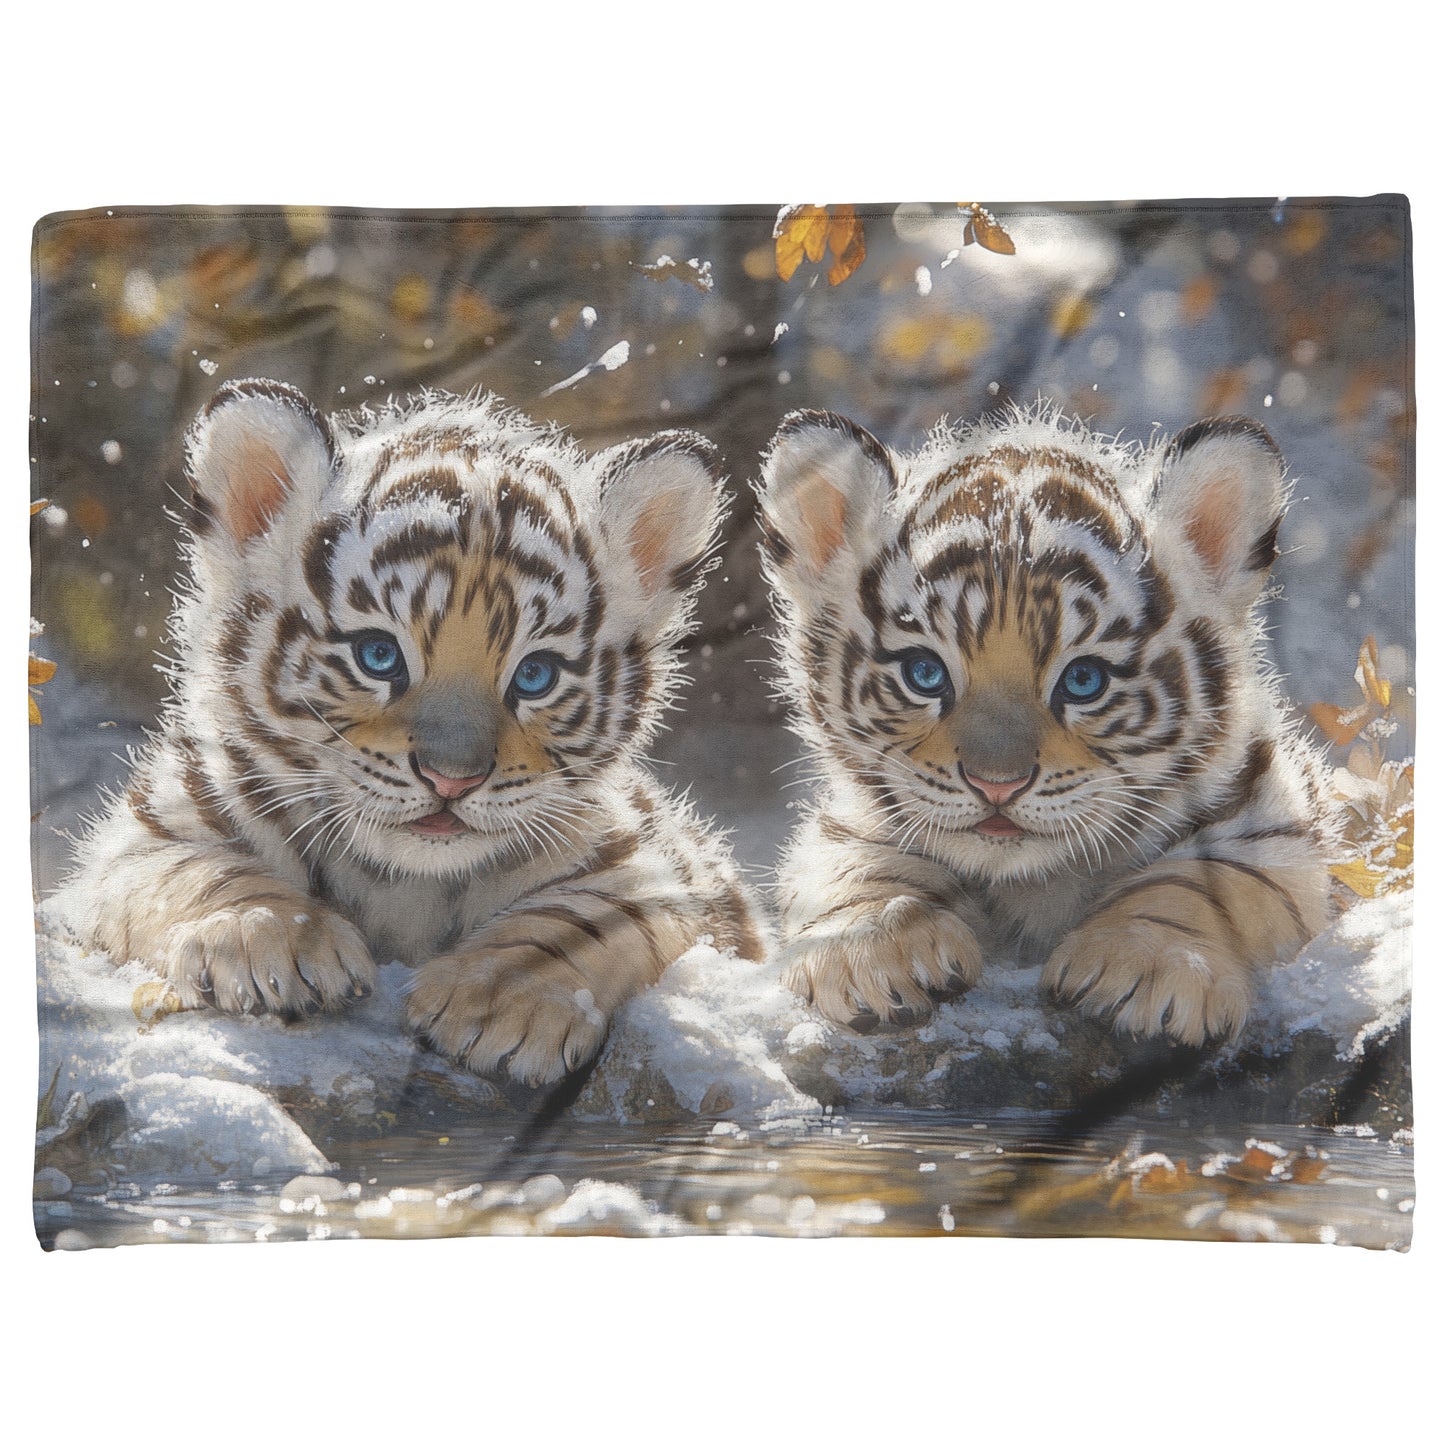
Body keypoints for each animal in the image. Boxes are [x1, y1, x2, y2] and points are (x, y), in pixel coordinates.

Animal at [63, 378, 764, 1086]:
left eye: (535, 674)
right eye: (378, 656)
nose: (452, 780)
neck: (402, 884)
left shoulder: (663, 873)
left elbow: (585, 916)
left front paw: (498, 1001)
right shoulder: (144, 836)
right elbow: (200, 872)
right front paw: (267, 938)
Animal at [757, 404, 1335, 1046]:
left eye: (1083, 680)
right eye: (924, 673)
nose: (997, 786)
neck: (1033, 883)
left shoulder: (1274, 814)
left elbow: (1203, 879)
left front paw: (1147, 966)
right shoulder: (851, 821)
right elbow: (858, 866)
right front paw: (874, 953)